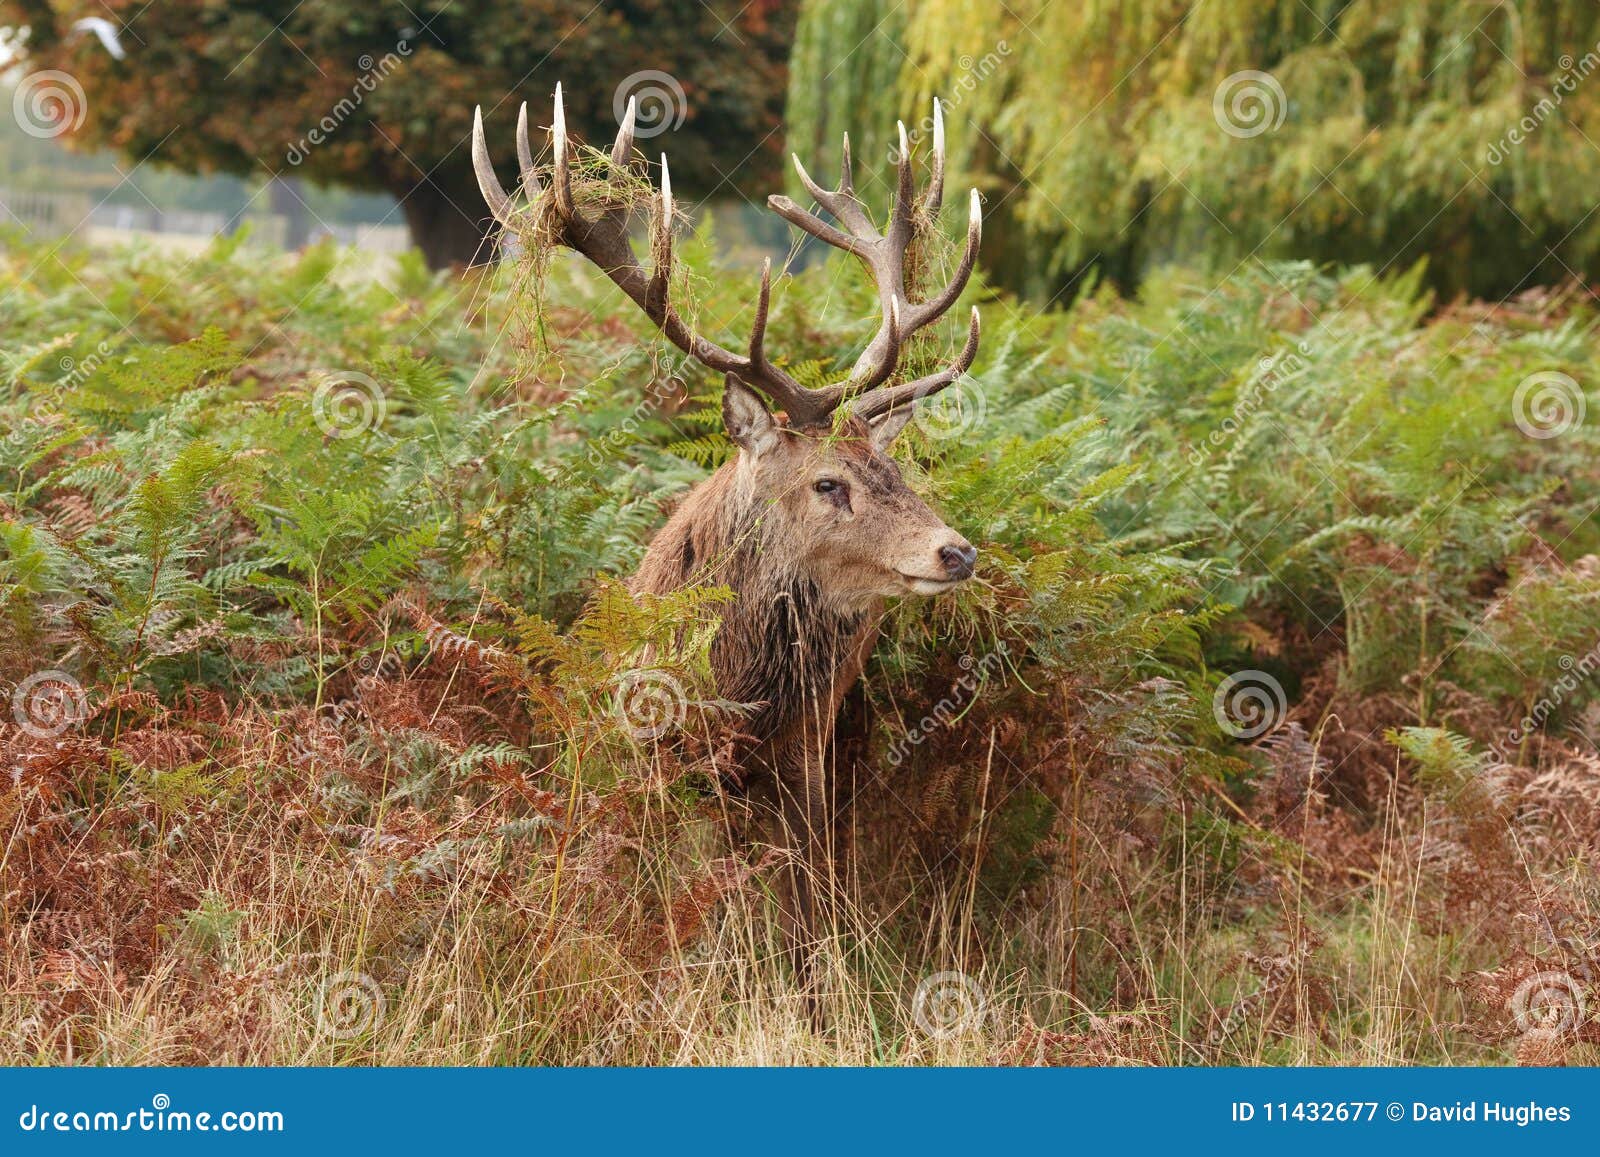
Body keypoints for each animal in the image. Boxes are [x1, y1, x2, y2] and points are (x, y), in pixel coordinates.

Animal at [471, 85, 983, 1004]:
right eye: (828, 483)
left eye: (892, 466)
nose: (954, 552)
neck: (732, 695)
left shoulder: (806, 754)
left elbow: (811, 905)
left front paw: (816, 996)